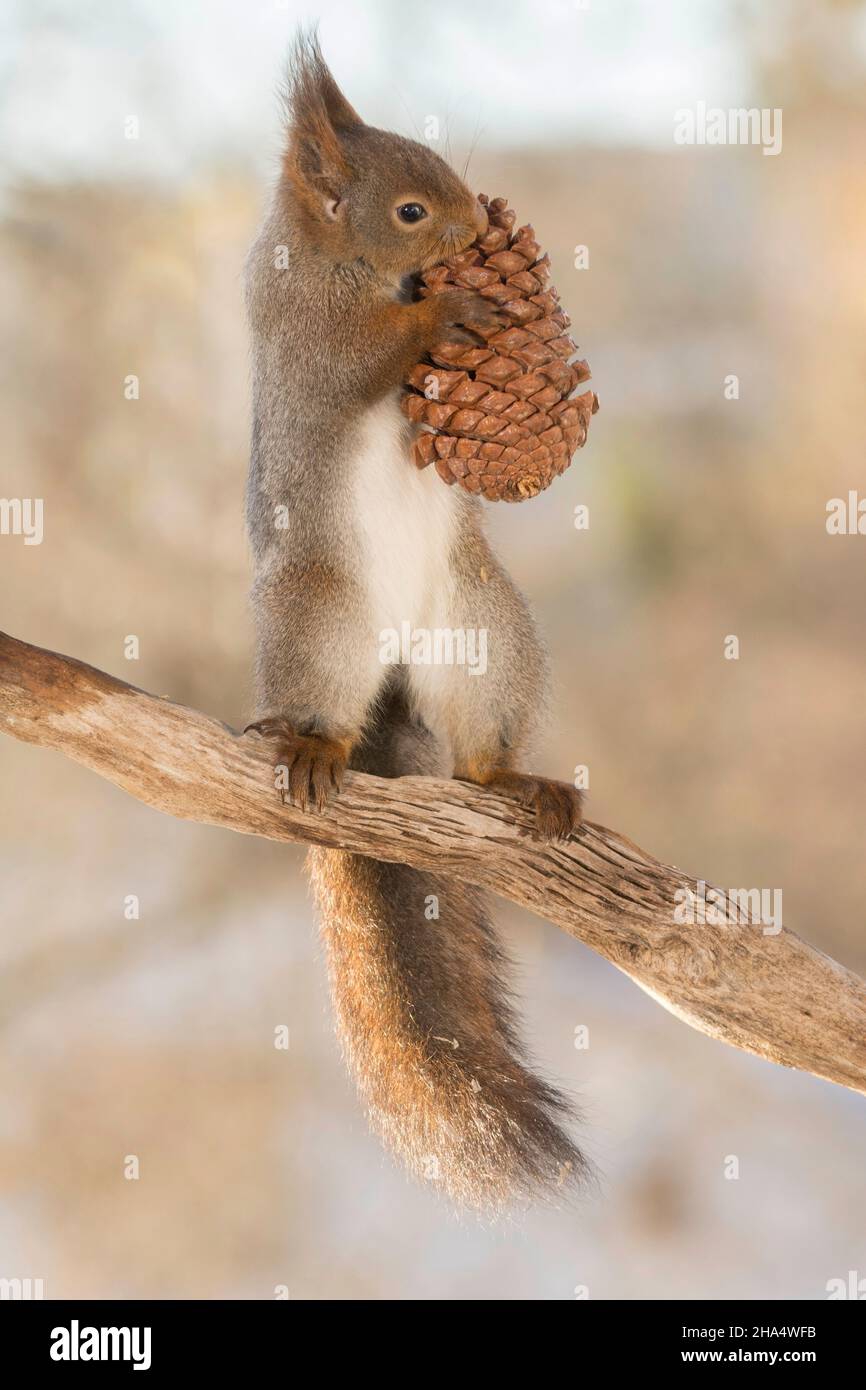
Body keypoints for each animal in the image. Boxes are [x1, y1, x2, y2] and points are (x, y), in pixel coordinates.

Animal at [244, 33, 590, 1210]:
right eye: (408, 209)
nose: (481, 228)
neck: (344, 264)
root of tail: (389, 678)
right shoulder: (310, 339)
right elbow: (366, 353)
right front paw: (447, 316)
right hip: (319, 616)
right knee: (320, 710)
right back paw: (312, 744)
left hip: (483, 629)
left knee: (477, 754)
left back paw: (516, 783)